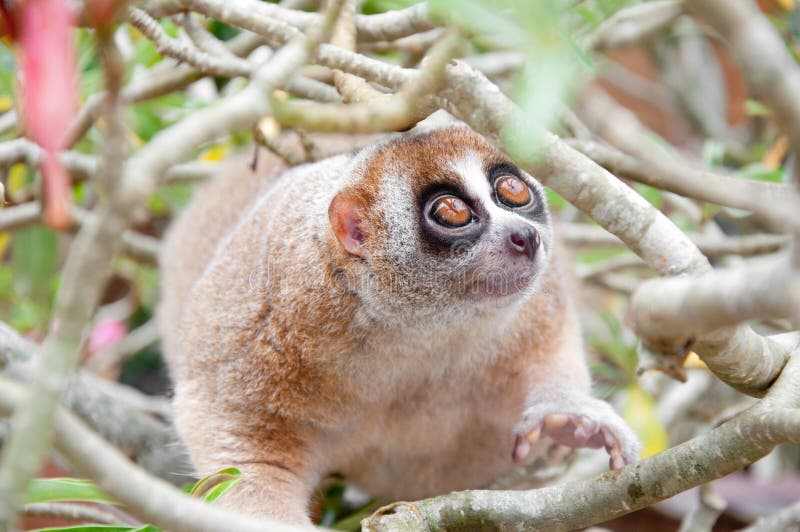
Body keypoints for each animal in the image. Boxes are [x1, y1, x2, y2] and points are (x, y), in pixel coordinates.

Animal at [158, 118, 641, 524]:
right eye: (452, 212)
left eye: (513, 190)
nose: (525, 235)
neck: (416, 327)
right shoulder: (261, 326)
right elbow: (244, 449)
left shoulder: (538, 303)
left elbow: (552, 345)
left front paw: (568, 417)